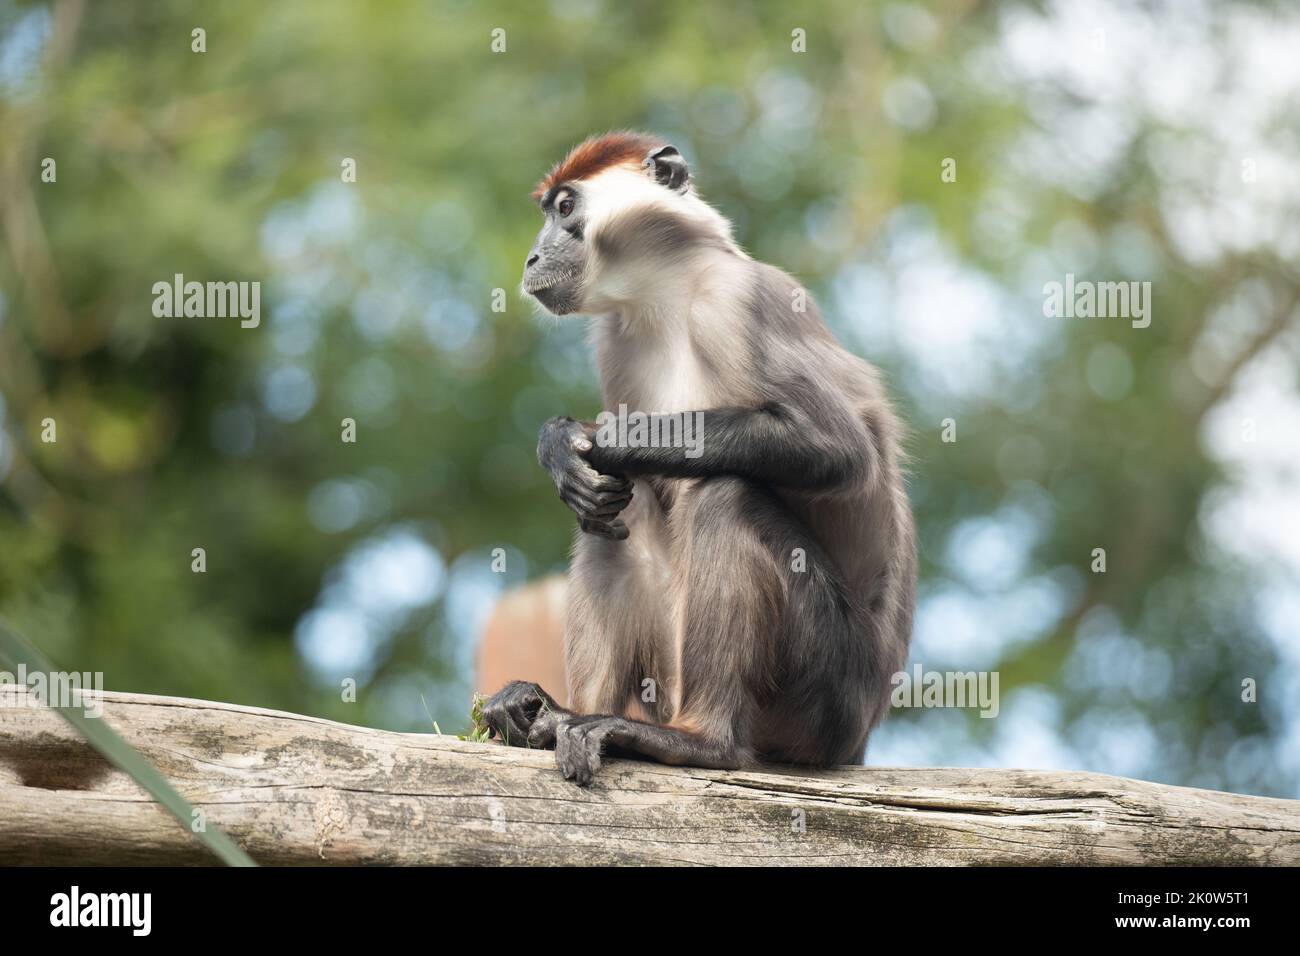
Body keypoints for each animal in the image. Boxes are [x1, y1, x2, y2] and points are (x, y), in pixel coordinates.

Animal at [482, 131, 916, 786]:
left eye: (565, 209)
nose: (534, 258)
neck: (666, 295)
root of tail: (859, 739)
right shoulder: (615, 340)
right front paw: (560, 445)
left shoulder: (737, 299)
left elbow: (841, 453)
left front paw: (605, 441)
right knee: (615, 515)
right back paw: (557, 715)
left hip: (826, 693)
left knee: (723, 494)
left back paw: (699, 741)